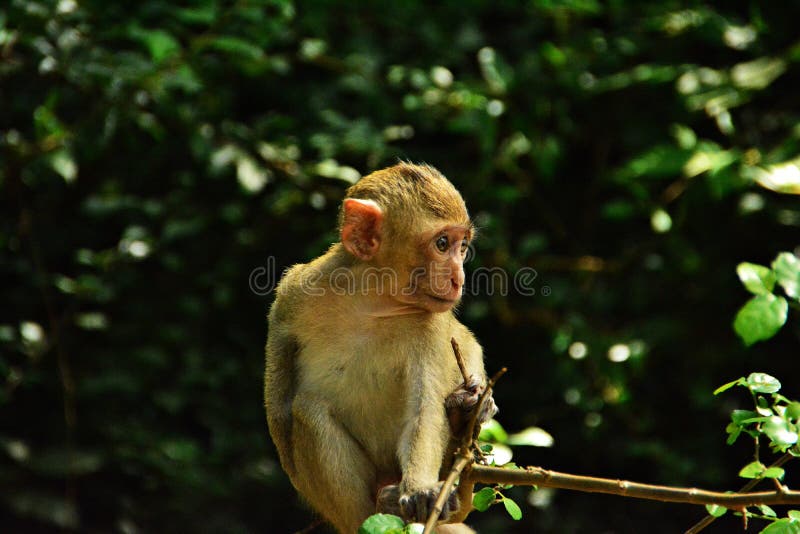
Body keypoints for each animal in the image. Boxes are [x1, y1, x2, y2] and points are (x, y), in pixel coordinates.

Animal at [265, 162, 497, 533]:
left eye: (462, 246)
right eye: (442, 243)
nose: (458, 278)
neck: (371, 301)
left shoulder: (431, 329)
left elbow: (425, 409)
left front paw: (421, 490)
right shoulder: (294, 293)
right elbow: (279, 408)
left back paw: (463, 416)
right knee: (307, 408)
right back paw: (373, 510)